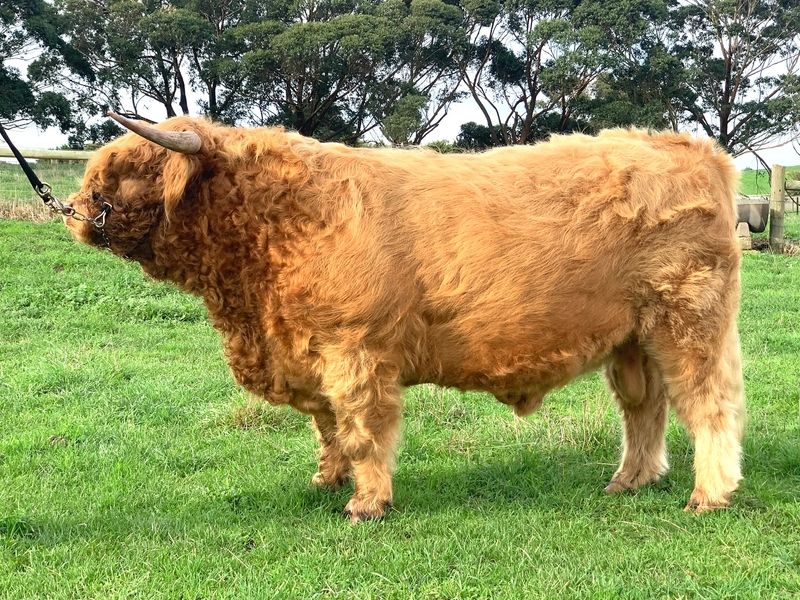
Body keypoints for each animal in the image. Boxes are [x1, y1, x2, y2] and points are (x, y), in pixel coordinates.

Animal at [65, 113, 745, 521]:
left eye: (129, 170)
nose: (72, 208)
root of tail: (690, 148)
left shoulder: (355, 351)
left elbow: (363, 428)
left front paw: (366, 503)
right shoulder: (311, 352)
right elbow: (328, 427)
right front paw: (326, 480)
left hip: (689, 321)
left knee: (708, 403)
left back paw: (708, 495)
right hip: (632, 337)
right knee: (644, 406)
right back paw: (630, 480)